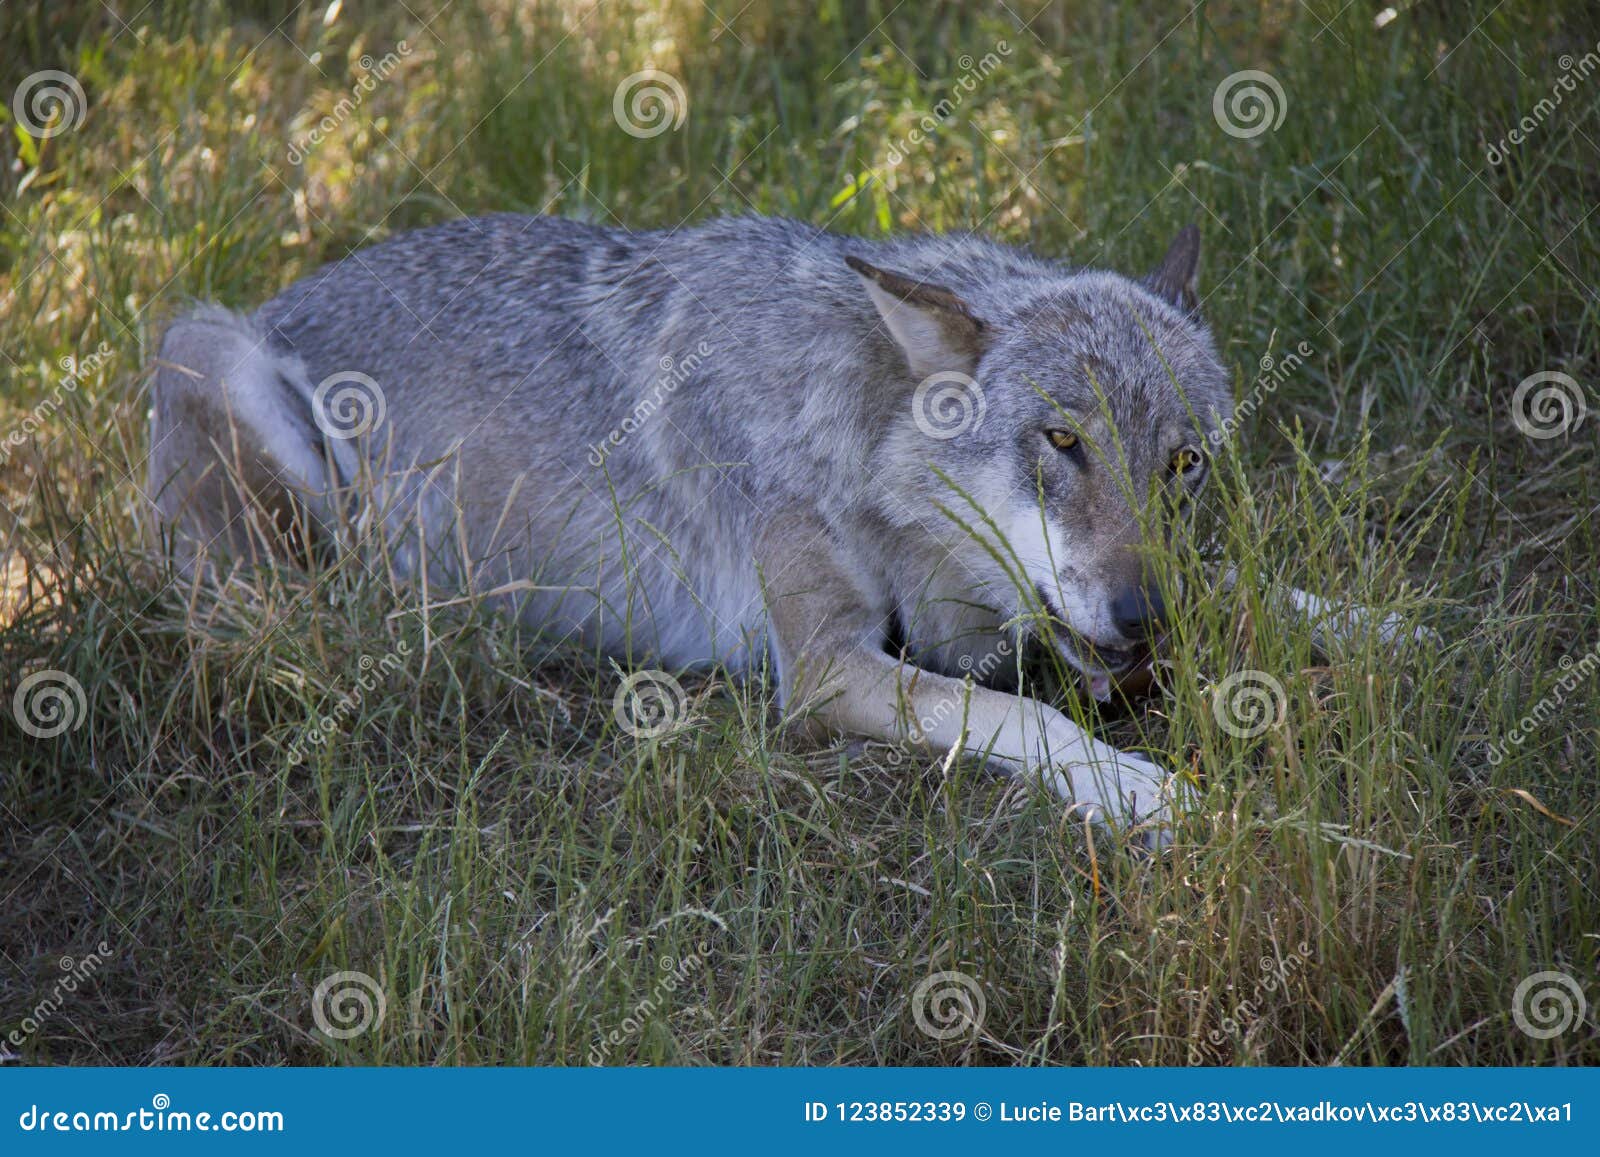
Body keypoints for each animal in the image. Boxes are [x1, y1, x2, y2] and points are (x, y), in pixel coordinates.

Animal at [146, 213, 1247, 837]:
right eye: (1062, 440)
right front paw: (1144, 793)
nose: (1145, 617)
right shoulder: (825, 669)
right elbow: (1033, 715)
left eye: (1184, 462)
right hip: (204, 345)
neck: (858, 416)